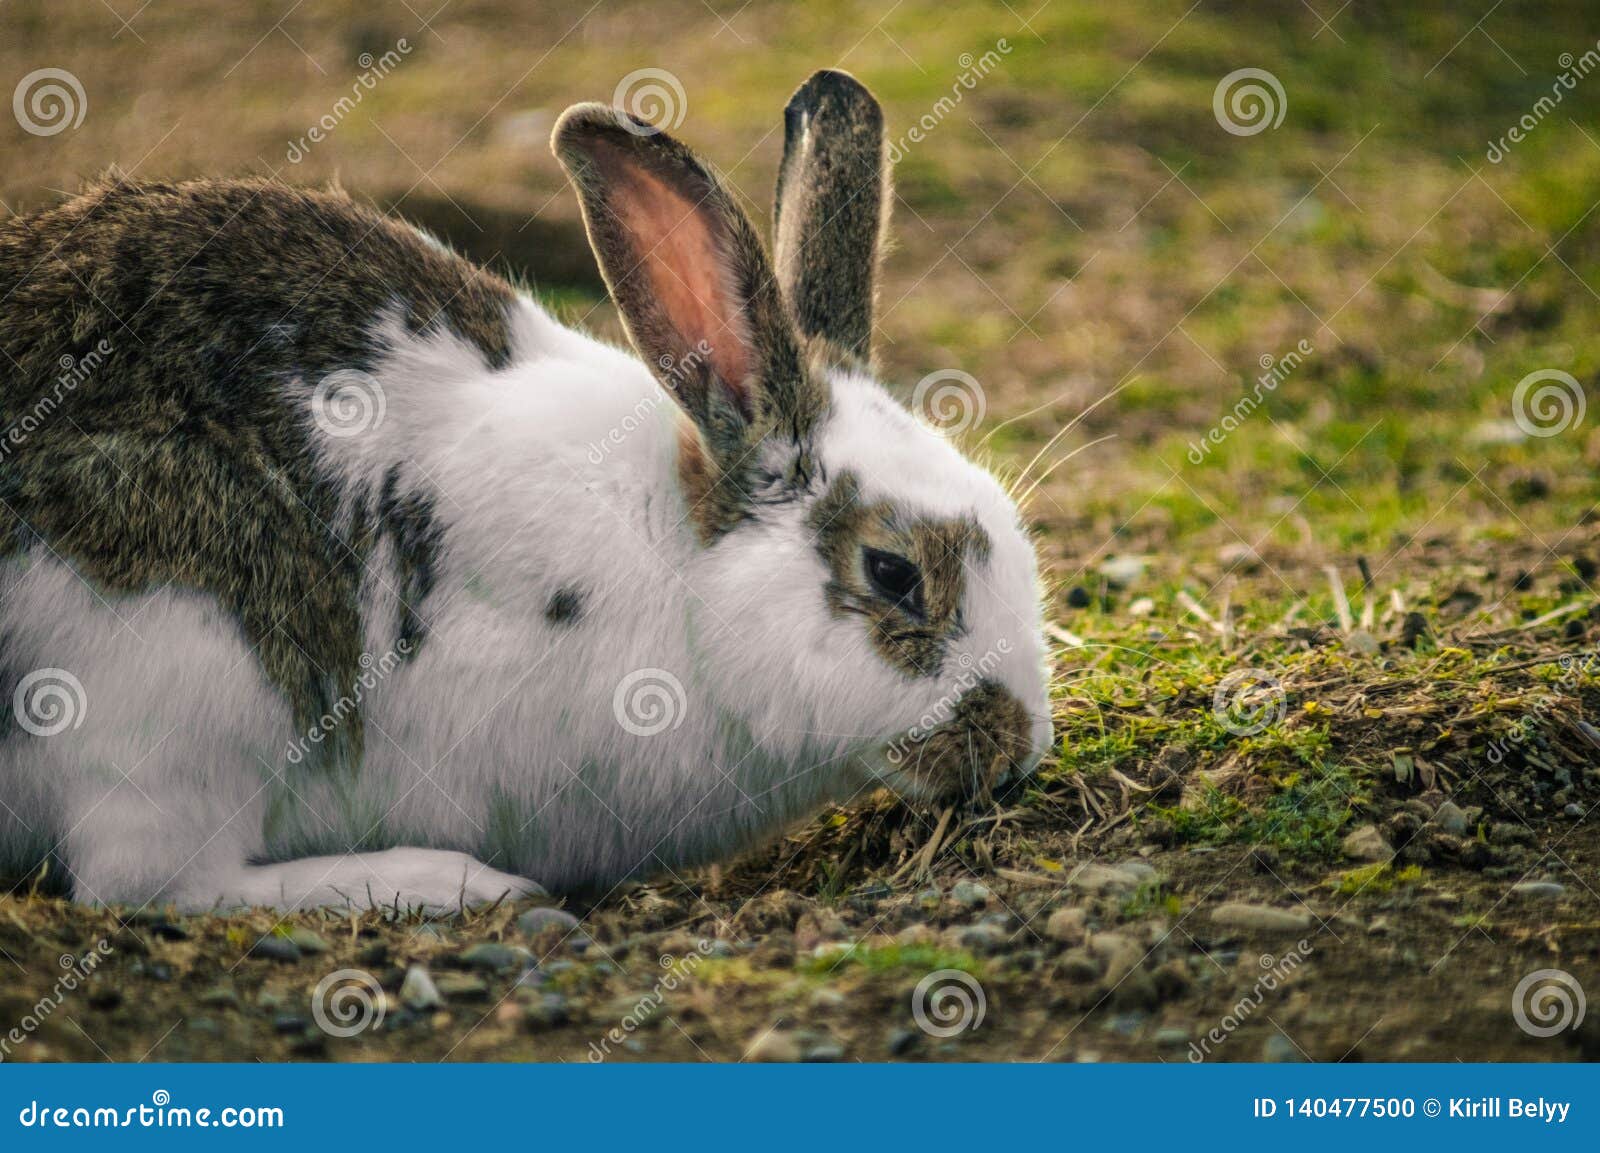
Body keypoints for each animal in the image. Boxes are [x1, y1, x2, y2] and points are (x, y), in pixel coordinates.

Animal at [0, 69, 1052, 913]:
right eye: (893, 573)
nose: (1019, 746)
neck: (679, 569)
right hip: (186, 672)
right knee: (155, 881)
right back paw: (449, 881)